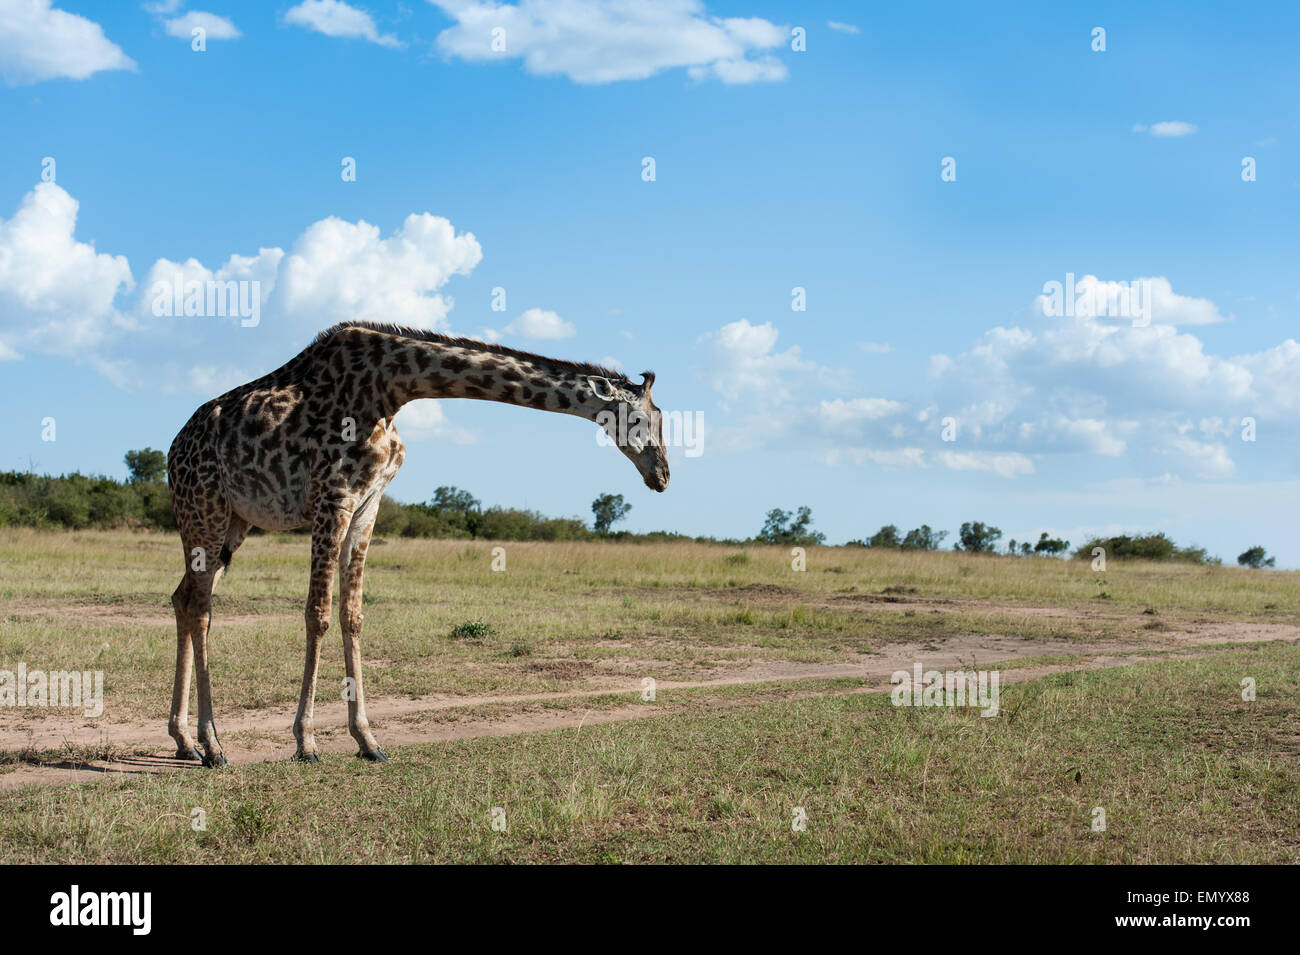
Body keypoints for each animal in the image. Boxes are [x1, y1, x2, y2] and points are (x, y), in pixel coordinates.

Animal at [166, 321, 668, 765]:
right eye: (640, 418)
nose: (661, 475)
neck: (393, 388)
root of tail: (172, 452)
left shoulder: (368, 502)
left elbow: (353, 615)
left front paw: (368, 741)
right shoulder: (333, 497)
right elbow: (318, 614)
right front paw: (306, 743)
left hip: (234, 523)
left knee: (184, 598)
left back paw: (184, 741)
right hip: (204, 510)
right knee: (202, 607)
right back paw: (213, 745)